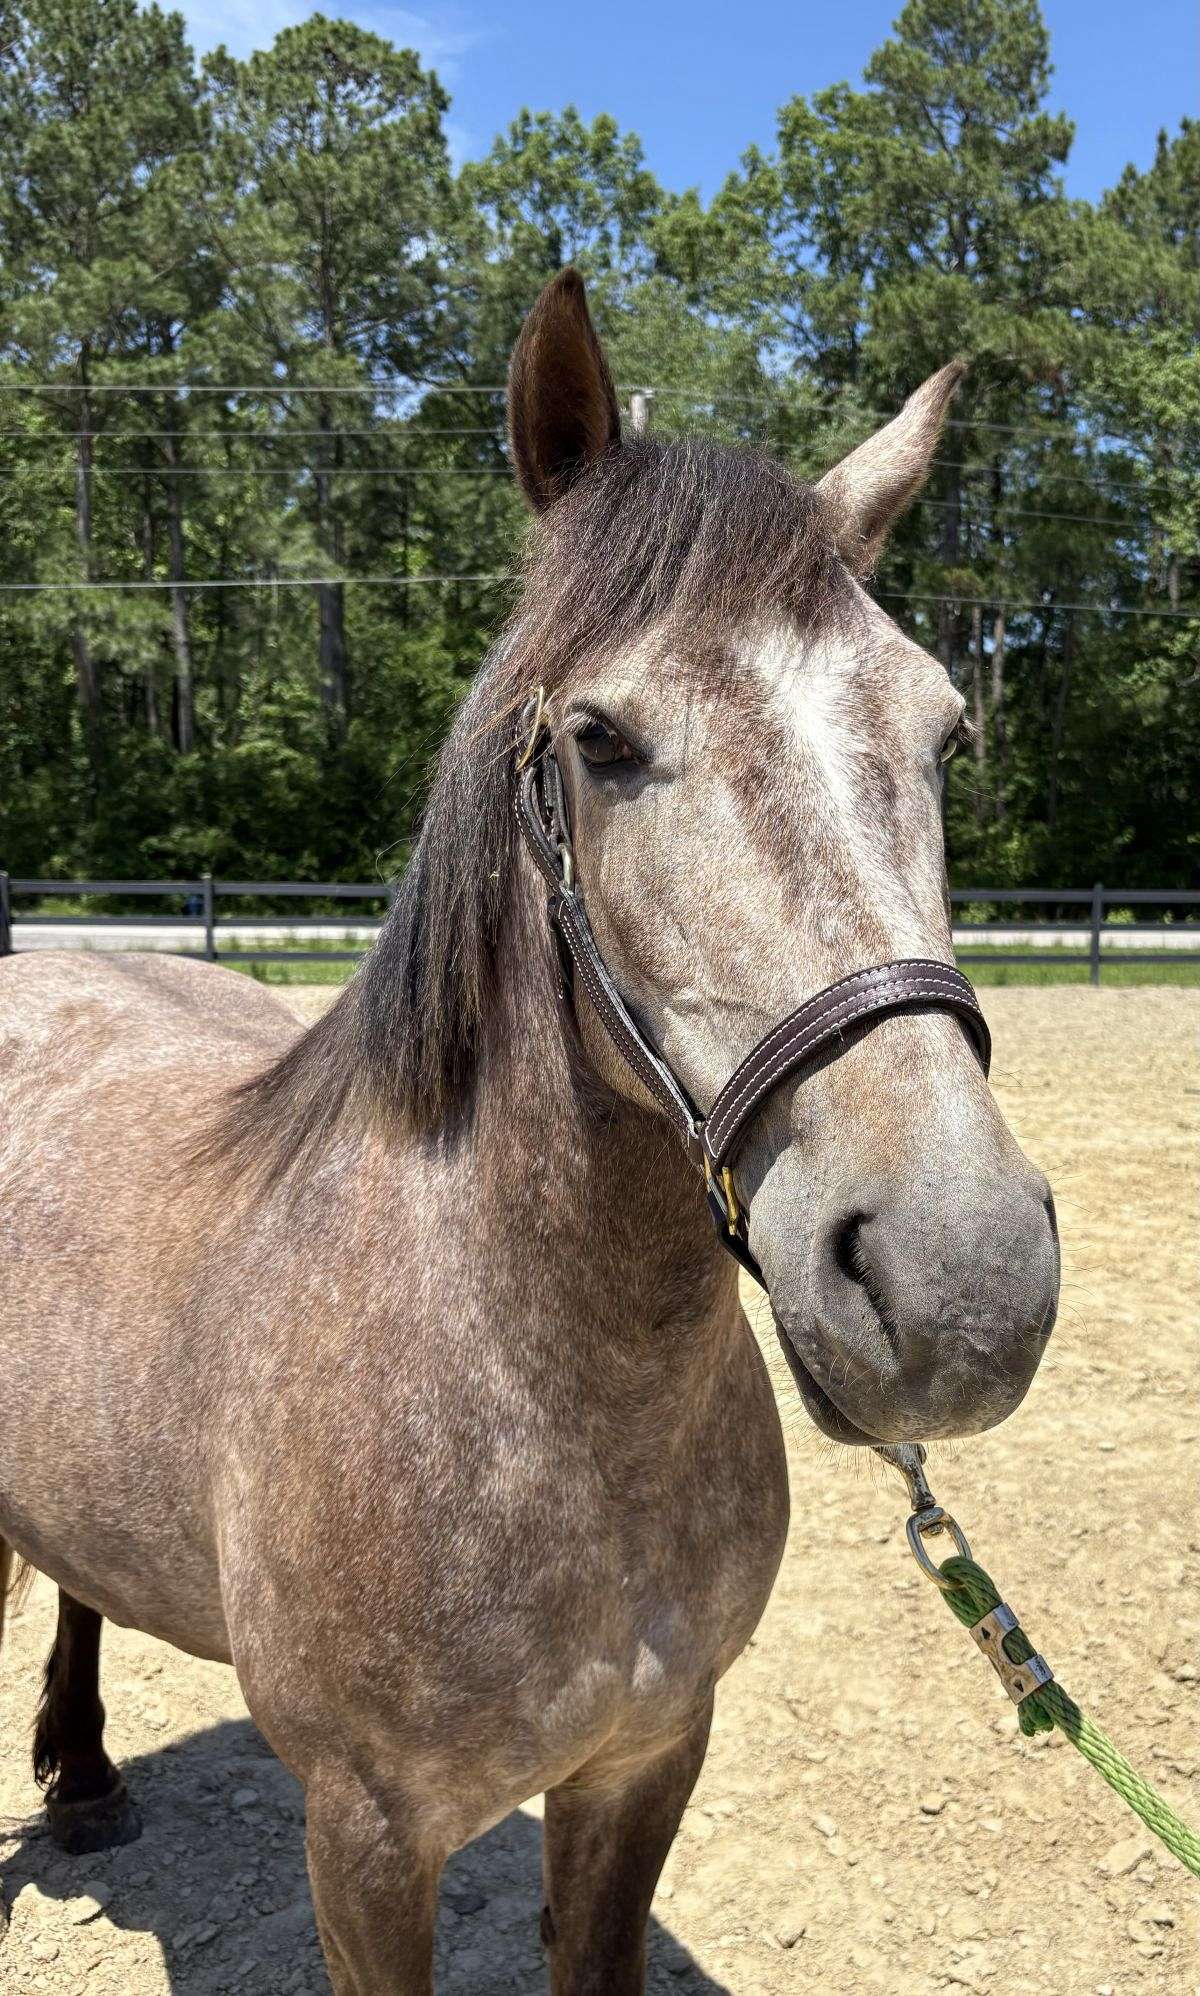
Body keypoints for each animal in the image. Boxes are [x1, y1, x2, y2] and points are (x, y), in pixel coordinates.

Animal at [0, 268, 1059, 1994]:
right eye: (601, 740)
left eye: (948, 734)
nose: (959, 1283)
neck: (530, 1388)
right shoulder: (367, 1841)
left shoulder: (645, 1761)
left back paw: (87, 1781)